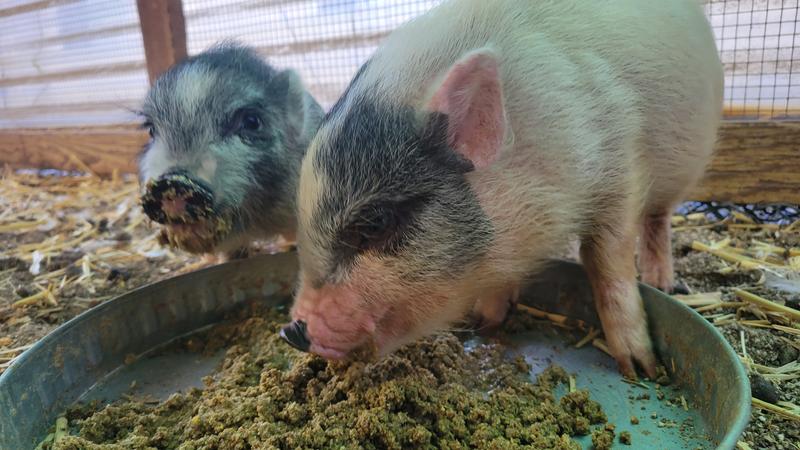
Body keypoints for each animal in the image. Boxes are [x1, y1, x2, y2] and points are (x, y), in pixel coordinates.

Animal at [286, 0, 723, 379]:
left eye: (374, 224)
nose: (291, 331)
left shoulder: (618, 165)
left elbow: (606, 261)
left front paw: (640, 369)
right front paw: (485, 322)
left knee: (658, 219)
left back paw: (660, 283)